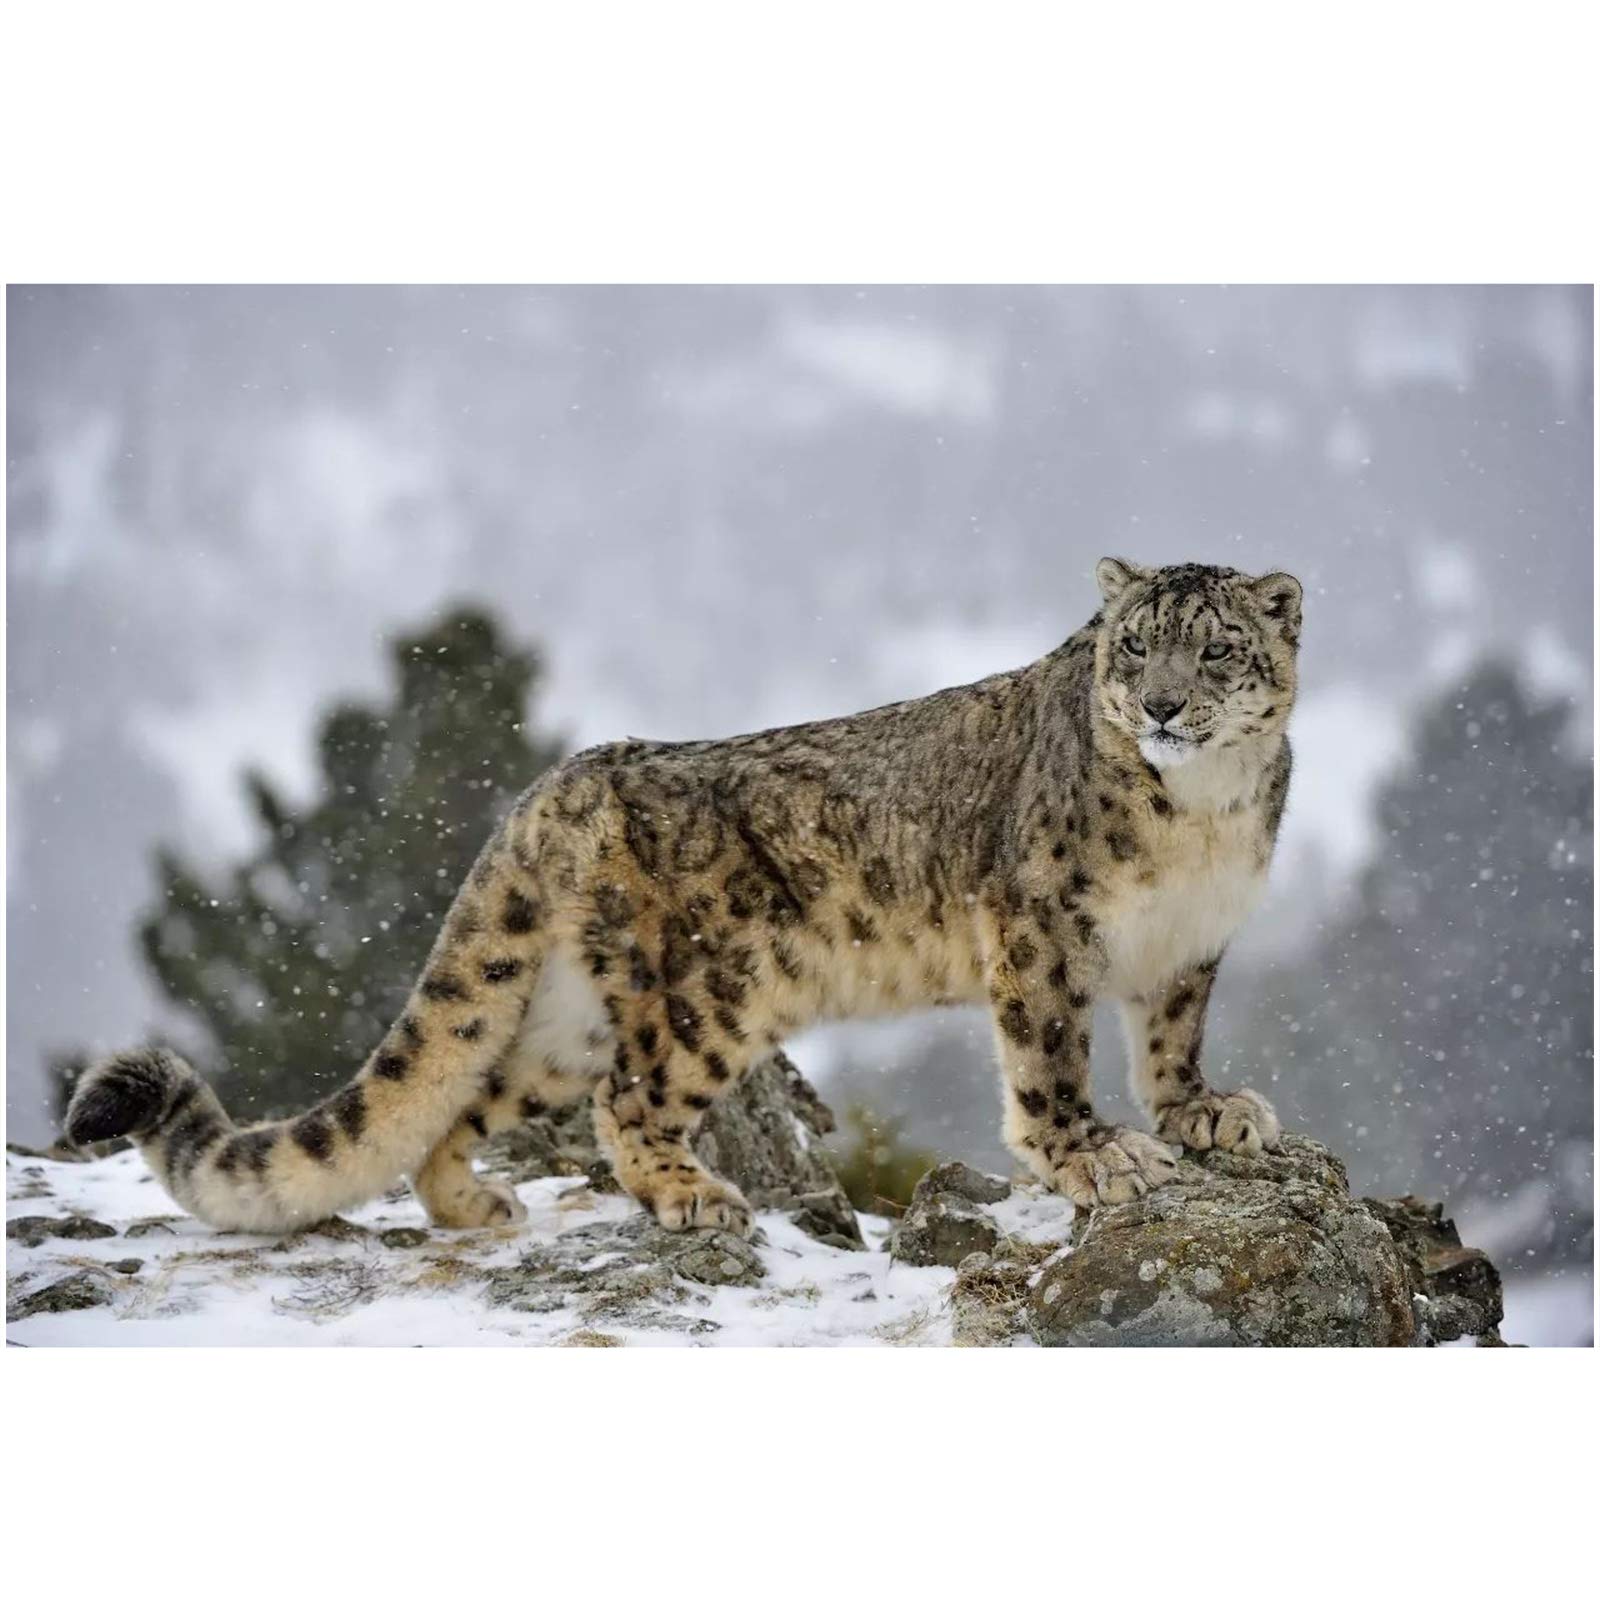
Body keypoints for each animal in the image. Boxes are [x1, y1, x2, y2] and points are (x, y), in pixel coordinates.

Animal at [68, 557, 1302, 1238]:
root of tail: (561, 778)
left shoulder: (1190, 944)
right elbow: (1049, 1057)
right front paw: (1096, 1156)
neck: (1204, 814)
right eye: (1133, 645)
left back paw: (474, 1206)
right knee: (629, 1096)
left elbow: (1171, 1041)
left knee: (474, 1095)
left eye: (1215, 651)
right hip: (719, 987)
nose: (1161, 705)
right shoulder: (1040, 928)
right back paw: (688, 1190)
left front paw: (1204, 1113)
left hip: (564, 1012)